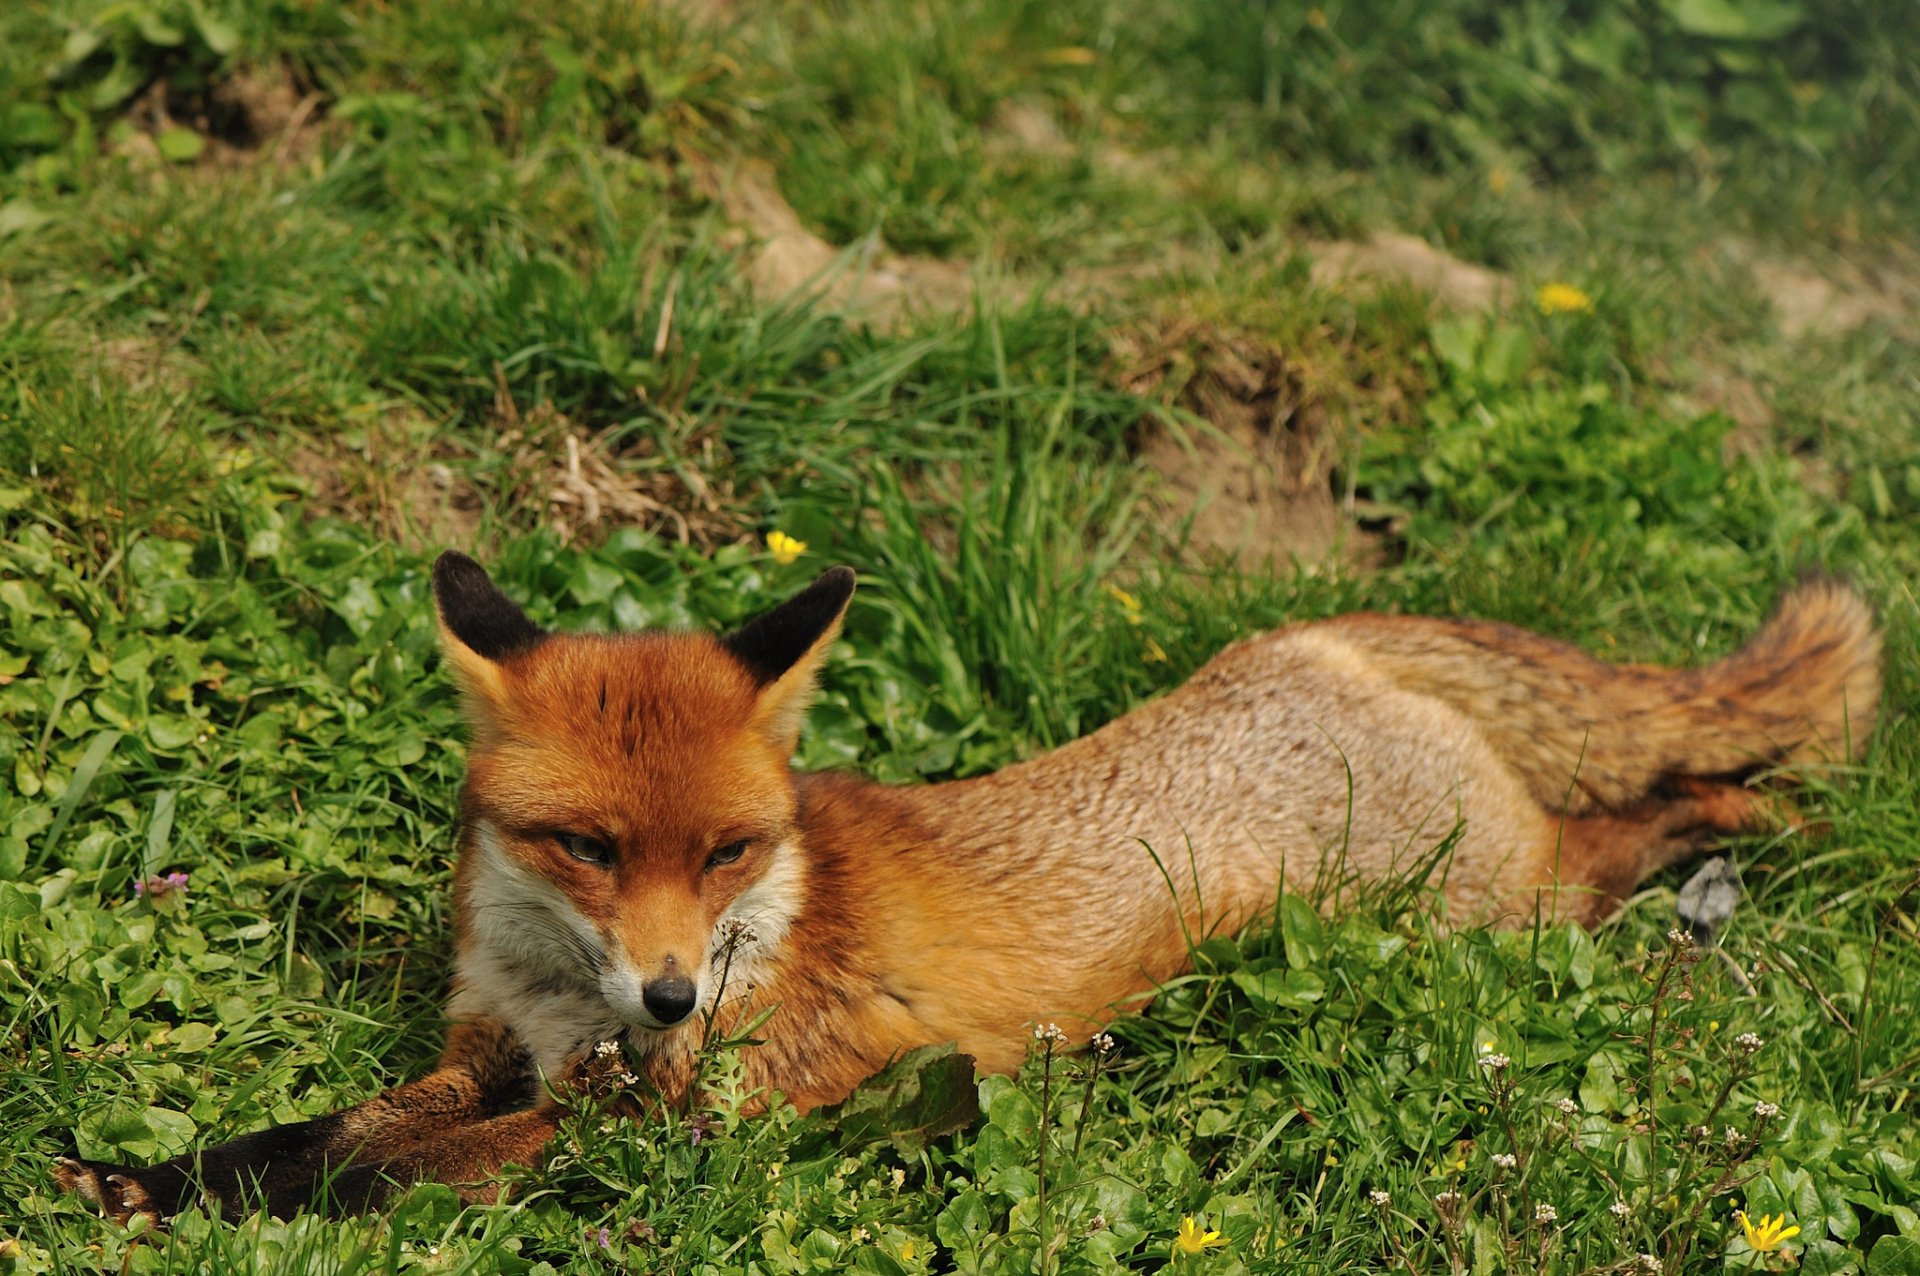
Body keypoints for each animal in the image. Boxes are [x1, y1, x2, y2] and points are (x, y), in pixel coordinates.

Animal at [57, 553, 1880, 1222]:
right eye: (589, 847)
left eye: (726, 849)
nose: (671, 993)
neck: (566, 1003)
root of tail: (1310, 639)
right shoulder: (485, 1057)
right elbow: (331, 1137)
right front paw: (143, 1178)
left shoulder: (685, 1125)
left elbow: (387, 1175)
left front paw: (197, 1205)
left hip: (1481, 917)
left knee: (1633, 832)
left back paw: (1756, 835)